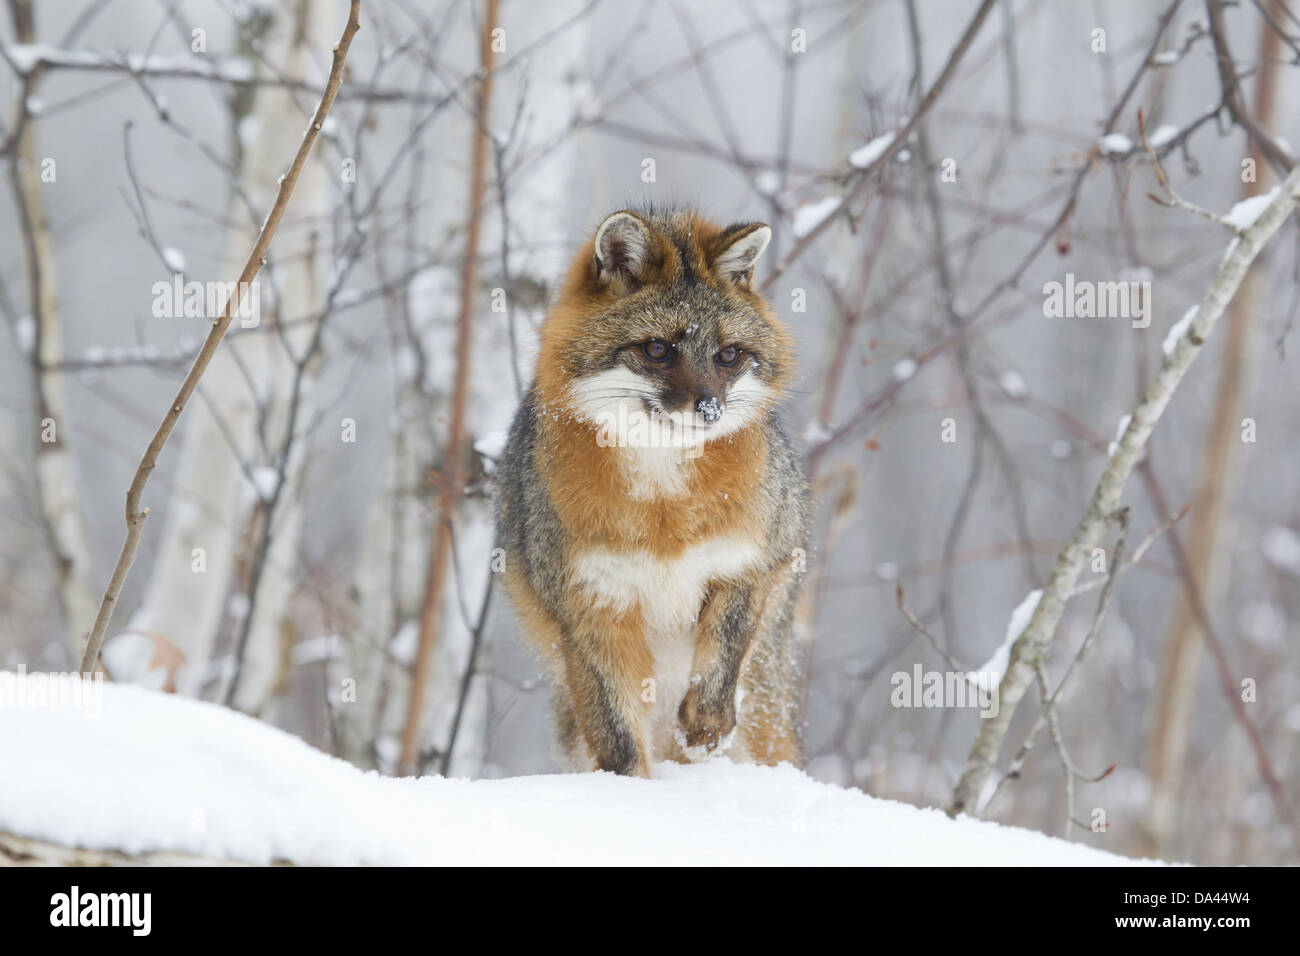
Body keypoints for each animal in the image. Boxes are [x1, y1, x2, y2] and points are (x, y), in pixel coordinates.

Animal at [494, 207, 810, 777]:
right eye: (658, 350)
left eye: (729, 355)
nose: (710, 410)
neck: (666, 514)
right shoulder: (592, 608)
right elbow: (618, 735)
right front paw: (635, 792)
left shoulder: (750, 565)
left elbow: (721, 663)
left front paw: (705, 727)